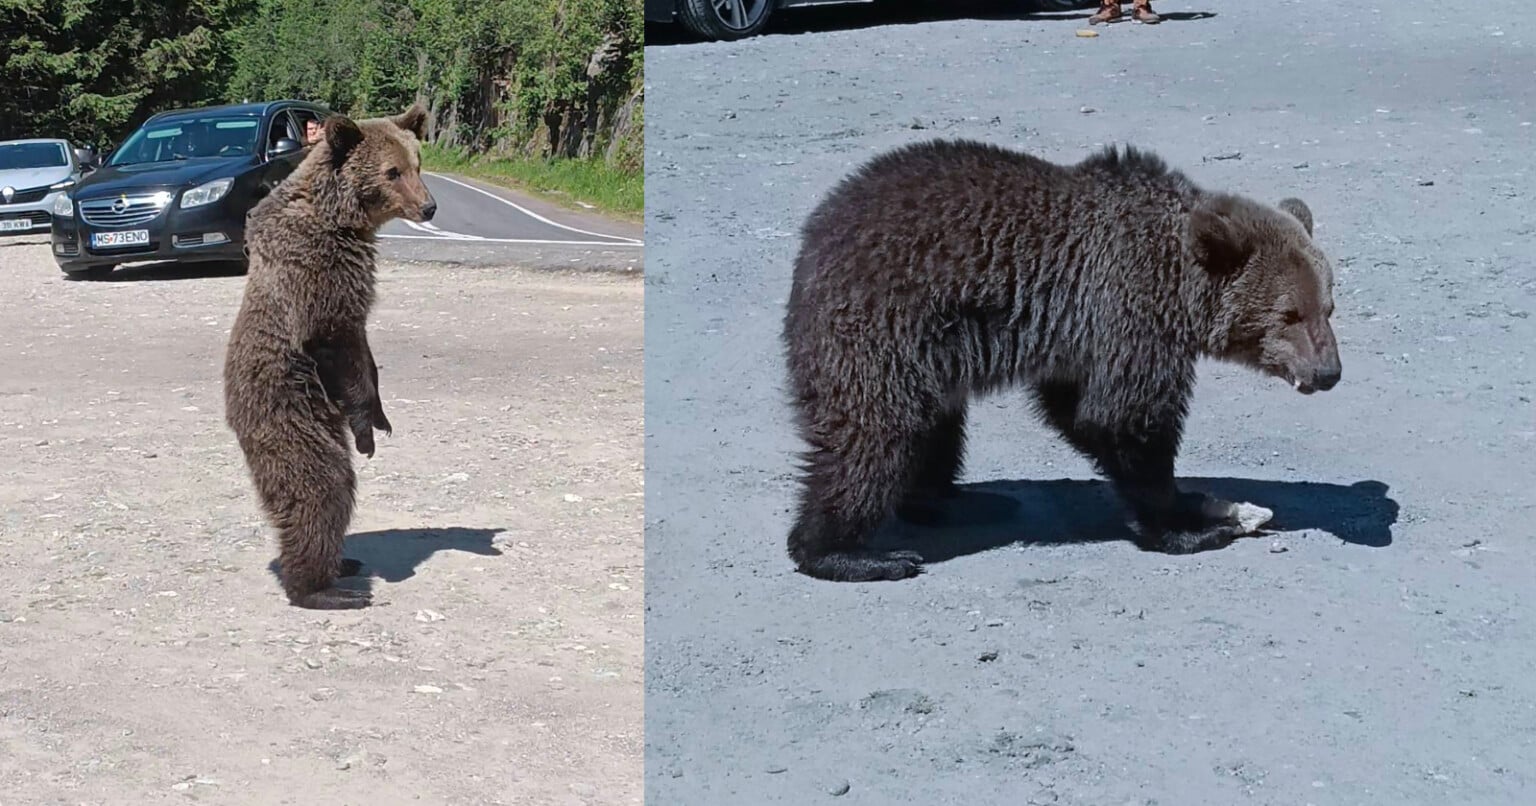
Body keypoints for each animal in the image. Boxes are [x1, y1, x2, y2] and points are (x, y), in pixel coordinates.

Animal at [223, 103, 437, 609]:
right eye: (392, 171)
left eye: (418, 164)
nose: (430, 207)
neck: (343, 220)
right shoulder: (319, 276)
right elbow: (336, 345)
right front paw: (367, 430)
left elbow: (365, 353)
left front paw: (382, 414)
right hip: (290, 410)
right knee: (319, 487)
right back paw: (323, 589)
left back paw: (344, 563)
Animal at [781, 138, 1342, 583]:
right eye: (1289, 313)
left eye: (1328, 306)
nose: (1328, 372)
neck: (1178, 285)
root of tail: (812, 242)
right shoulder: (1125, 309)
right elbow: (1124, 418)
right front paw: (1188, 524)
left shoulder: (1081, 337)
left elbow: (1075, 409)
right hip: (883, 327)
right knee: (876, 436)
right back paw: (851, 553)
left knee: (937, 427)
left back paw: (958, 499)